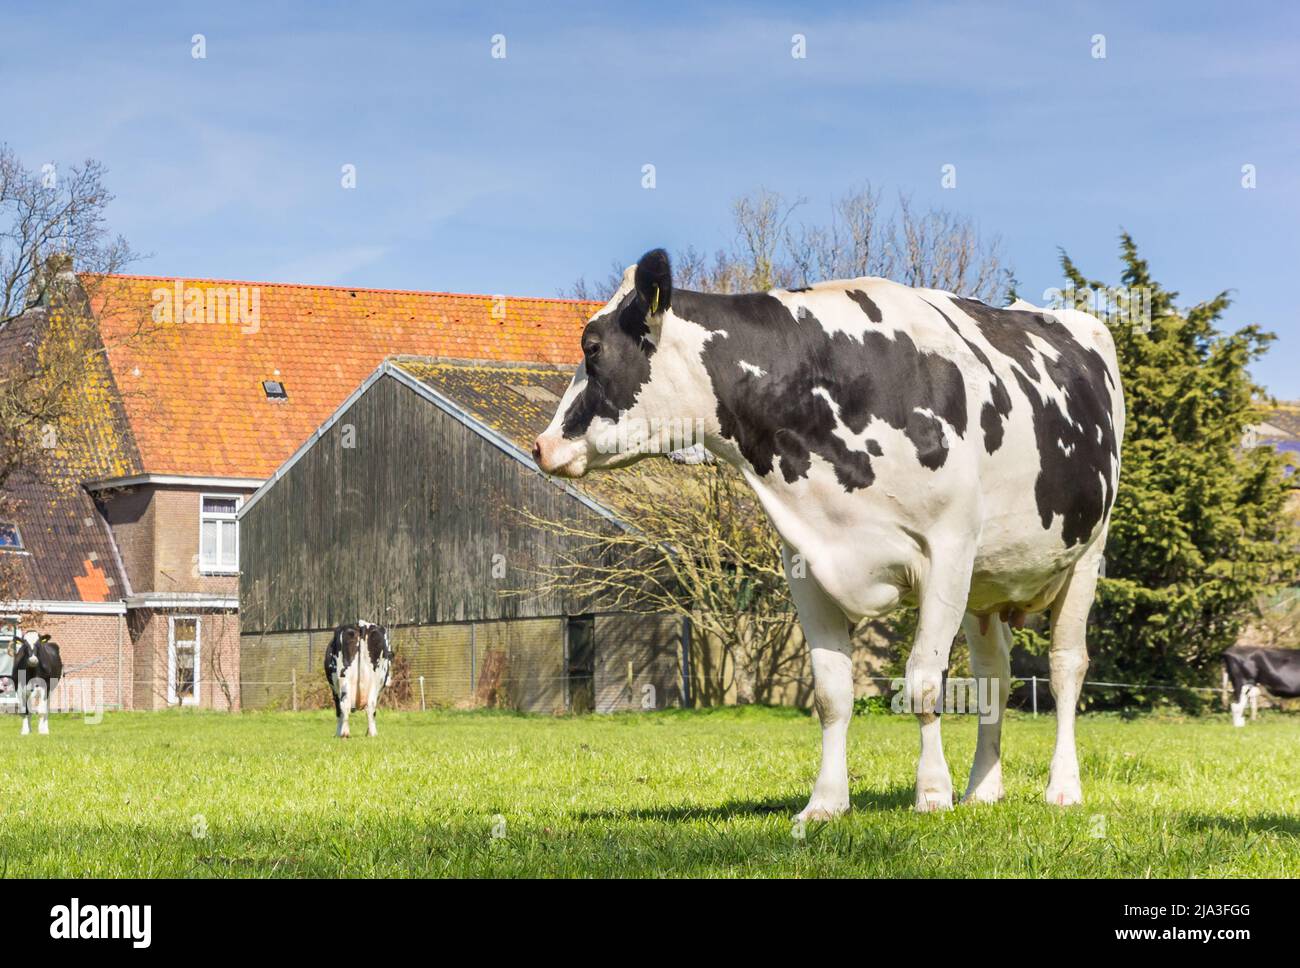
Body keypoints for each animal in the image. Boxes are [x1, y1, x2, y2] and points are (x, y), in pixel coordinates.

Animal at [533, 249, 1124, 817]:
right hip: (989, 583)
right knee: (993, 676)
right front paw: (825, 802)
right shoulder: (808, 561)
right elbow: (832, 693)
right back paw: (983, 789)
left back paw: (1062, 789)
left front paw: (932, 794)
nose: (543, 445)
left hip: (1085, 555)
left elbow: (924, 682)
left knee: (1066, 668)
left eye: (591, 347)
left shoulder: (948, 550)